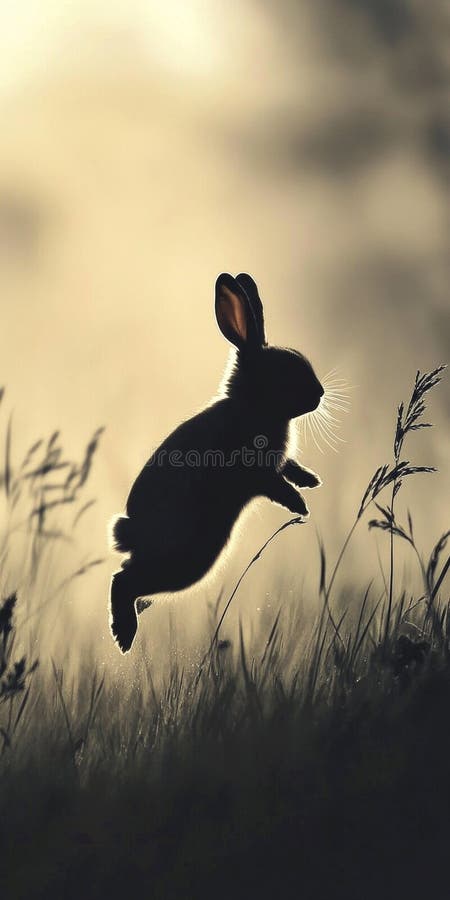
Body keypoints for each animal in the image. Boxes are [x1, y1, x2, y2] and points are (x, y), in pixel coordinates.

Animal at [109, 272, 324, 653]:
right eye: (285, 373)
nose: (321, 394)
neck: (253, 406)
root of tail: (128, 531)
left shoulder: (276, 464)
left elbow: (288, 468)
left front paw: (310, 481)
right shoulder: (253, 470)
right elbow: (274, 485)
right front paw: (300, 505)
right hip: (188, 559)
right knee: (123, 578)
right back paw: (124, 634)